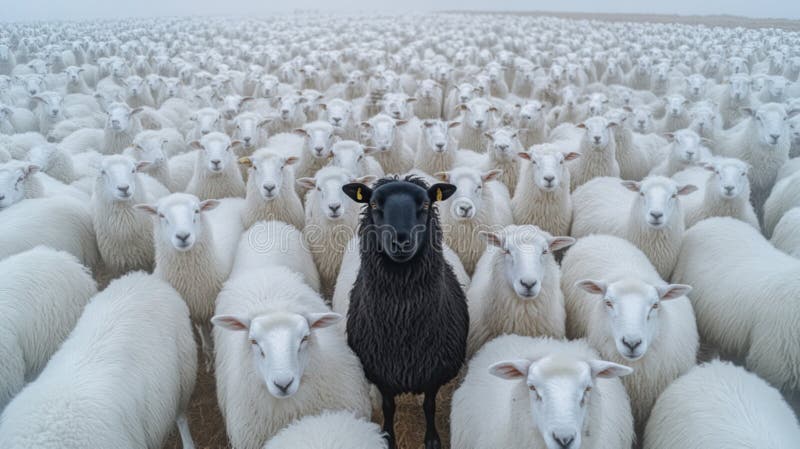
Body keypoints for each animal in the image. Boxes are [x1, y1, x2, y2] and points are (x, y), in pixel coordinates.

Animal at [342, 175, 468, 449]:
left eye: (426, 204)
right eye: (374, 203)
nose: (400, 241)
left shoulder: (434, 372)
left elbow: (429, 405)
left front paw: (432, 440)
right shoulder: (381, 373)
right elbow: (389, 407)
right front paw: (388, 437)